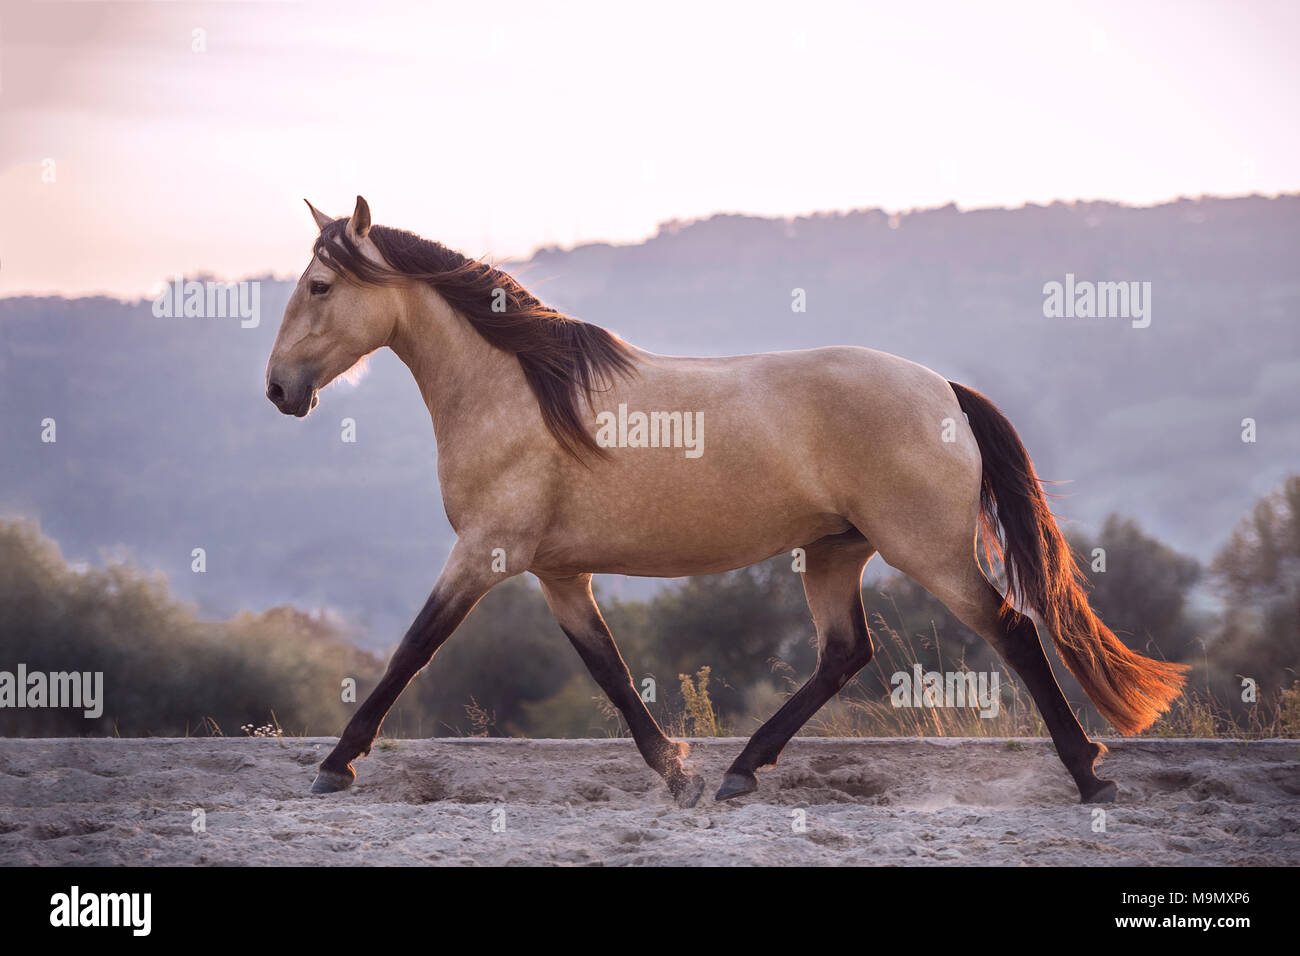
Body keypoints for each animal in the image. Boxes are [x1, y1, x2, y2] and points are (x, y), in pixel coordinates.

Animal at [265, 195, 1187, 807]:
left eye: (319, 286)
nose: (278, 390)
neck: (521, 392)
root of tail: (944, 392)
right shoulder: (560, 575)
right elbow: (609, 669)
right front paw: (676, 769)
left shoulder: (484, 555)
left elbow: (412, 650)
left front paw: (337, 763)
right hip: (835, 552)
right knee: (844, 654)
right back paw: (744, 767)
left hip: (925, 551)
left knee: (1013, 630)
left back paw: (1089, 774)